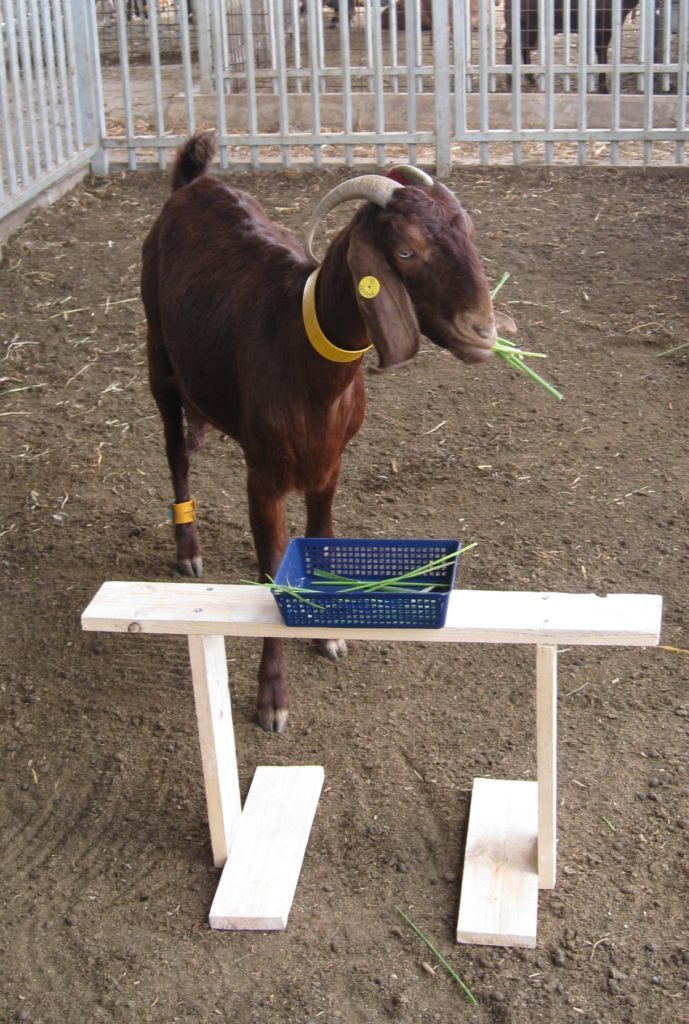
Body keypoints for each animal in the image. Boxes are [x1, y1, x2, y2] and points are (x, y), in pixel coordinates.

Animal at [141, 132, 514, 732]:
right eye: (405, 251)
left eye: (469, 229)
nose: (483, 332)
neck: (301, 351)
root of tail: (193, 182)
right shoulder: (263, 477)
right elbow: (273, 572)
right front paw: (273, 696)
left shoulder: (330, 464)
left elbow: (320, 538)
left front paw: (327, 635)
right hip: (157, 351)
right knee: (175, 452)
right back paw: (188, 546)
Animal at [504, 0, 640, 94]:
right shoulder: (602, 32)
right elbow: (603, 61)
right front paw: (603, 90)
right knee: (510, 46)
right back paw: (510, 82)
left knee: (522, 47)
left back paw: (531, 79)